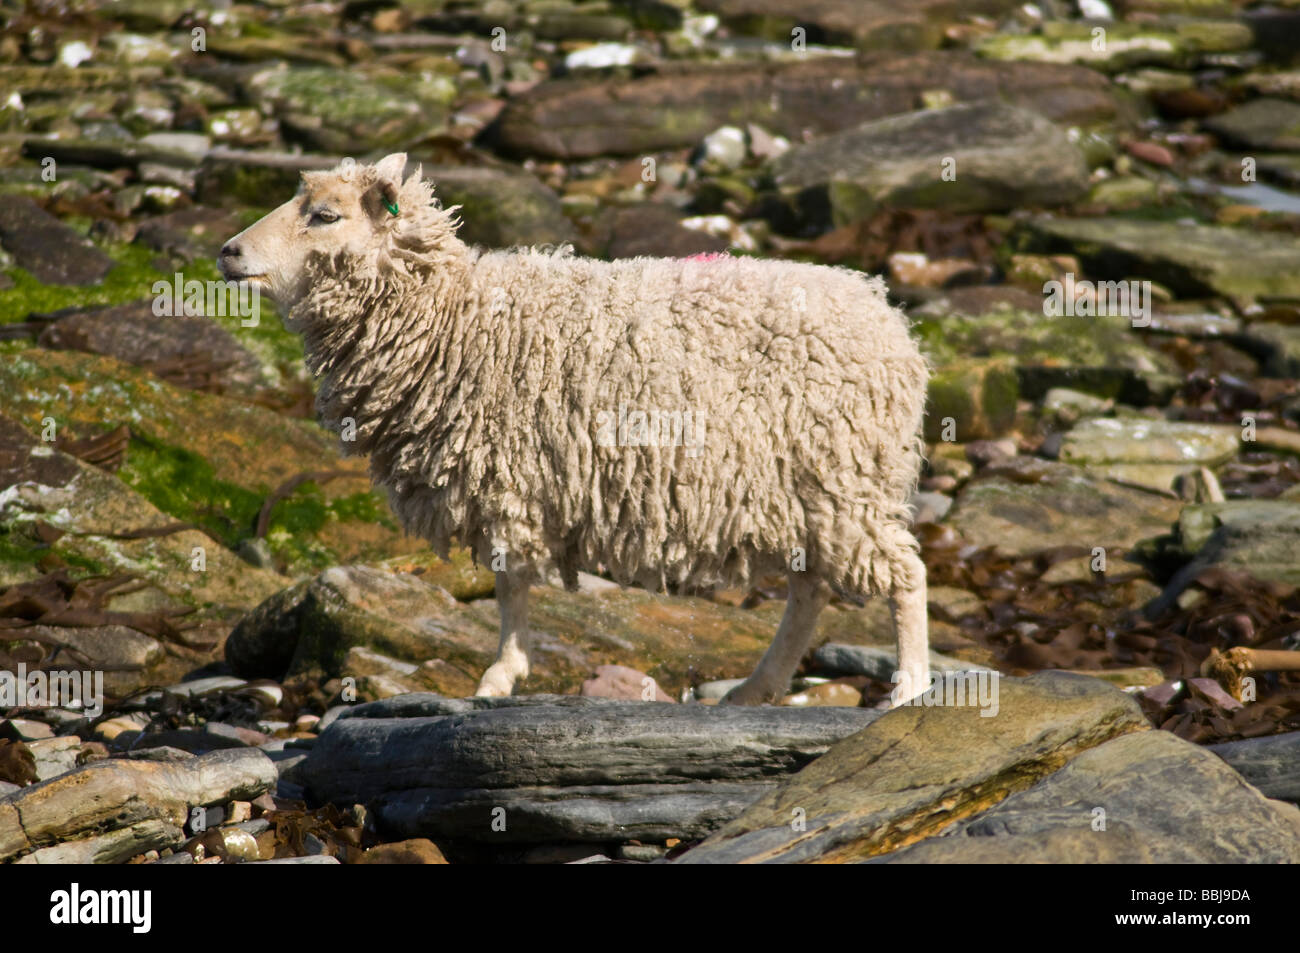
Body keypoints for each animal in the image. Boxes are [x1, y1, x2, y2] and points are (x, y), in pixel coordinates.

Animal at [218, 153, 932, 705]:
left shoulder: (502, 469)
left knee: (903, 573)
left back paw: (908, 687)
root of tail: (888, 318)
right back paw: (757, 688)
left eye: (326, 214)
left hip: (842, 474)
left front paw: (500, 676)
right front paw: (505, 672)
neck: (450, 317)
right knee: (810, 590)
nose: (227, 252)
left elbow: (509, 583)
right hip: (807, 488)